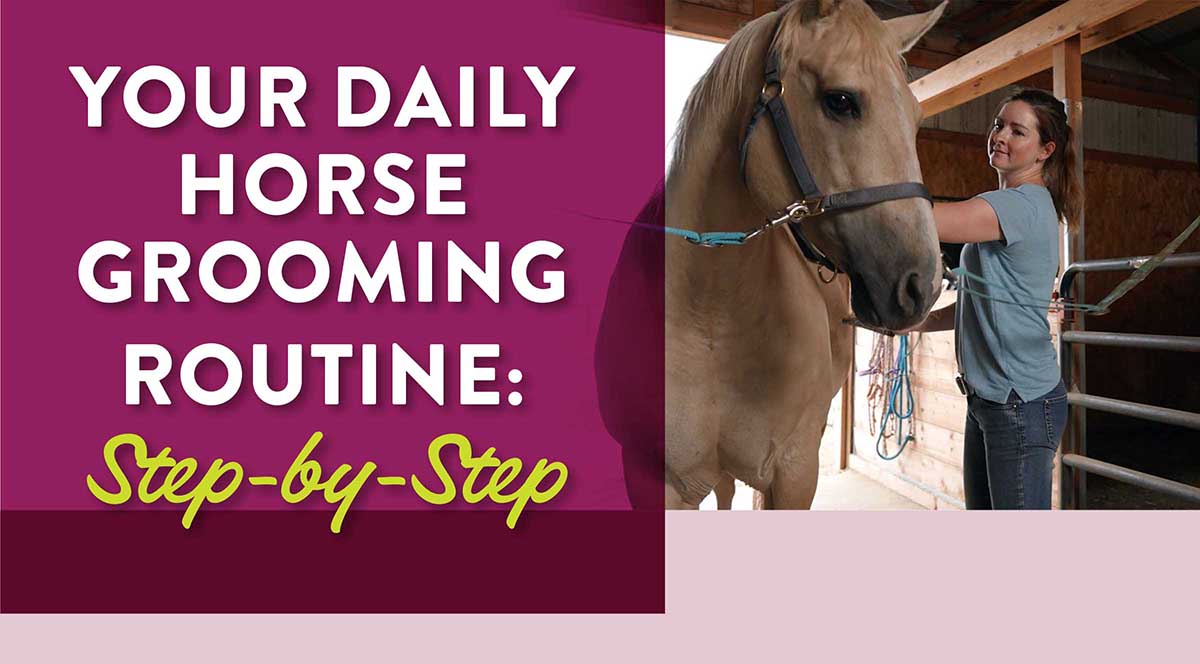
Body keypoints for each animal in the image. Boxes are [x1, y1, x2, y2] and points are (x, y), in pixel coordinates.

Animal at [595, 0, 947, 510]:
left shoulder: (794, 473)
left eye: (917, 117)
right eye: (840, 101)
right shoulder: (656, 483)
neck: (711, 318)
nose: (921, 284)